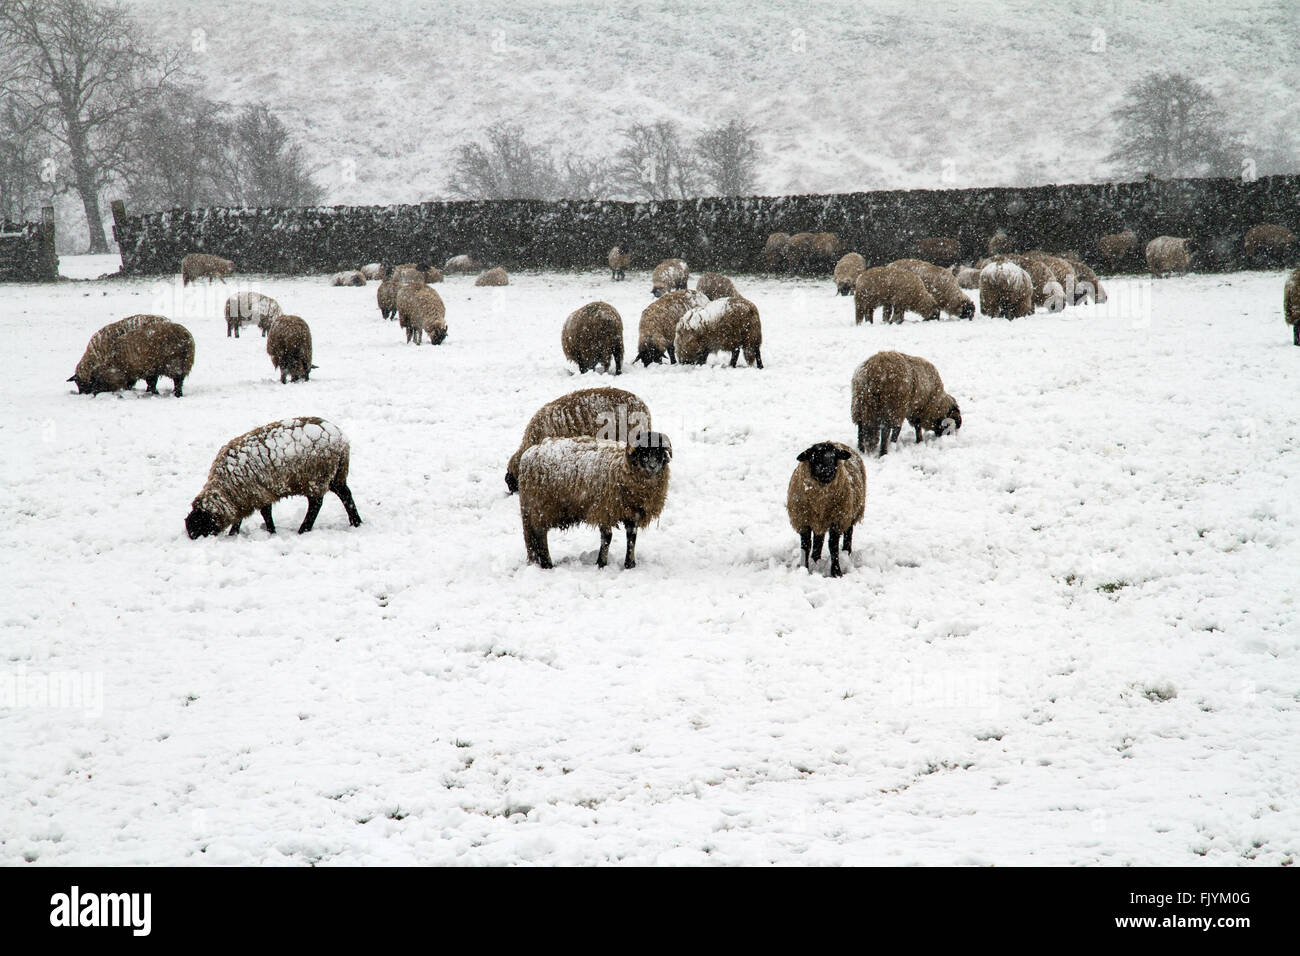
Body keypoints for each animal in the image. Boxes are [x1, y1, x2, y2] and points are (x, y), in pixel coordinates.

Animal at [184, 416, 362, 538]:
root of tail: (341, 438)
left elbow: (265, 513)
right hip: (336, 474)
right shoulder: (248, 496)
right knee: (345, 495)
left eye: (198, 525)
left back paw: (303, 529)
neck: (226, 487)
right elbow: (245, 517)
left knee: (316, 504)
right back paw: (356, 522)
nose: (192, 539)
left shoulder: (256, 492)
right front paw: (234, 533)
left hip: (316, 477)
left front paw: (270, 531)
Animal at [517, 432, 672, 569]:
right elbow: (607, 537)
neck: (620, 467)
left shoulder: (632, 512)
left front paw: (630, 564)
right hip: (541, 506)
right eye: (643, 453)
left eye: (659, 452)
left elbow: (632, 537)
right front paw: (601, 563)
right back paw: (547, 564)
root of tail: (528, 454)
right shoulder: (604, 509)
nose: (653, 466)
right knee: (540, 534)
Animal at [786, 441, 867, 577]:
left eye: (834, 457)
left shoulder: (837, 520)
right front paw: (804, 568)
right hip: (820, 521)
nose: (827, 471)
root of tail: (838, 442)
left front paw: (836, 572)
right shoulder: (803, 520)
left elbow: (833, 546)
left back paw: (846, 553)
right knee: (819, 540)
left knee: (848, 533)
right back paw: (816, 559)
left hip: (851, 512)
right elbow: (806, 546)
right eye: (815, 456)